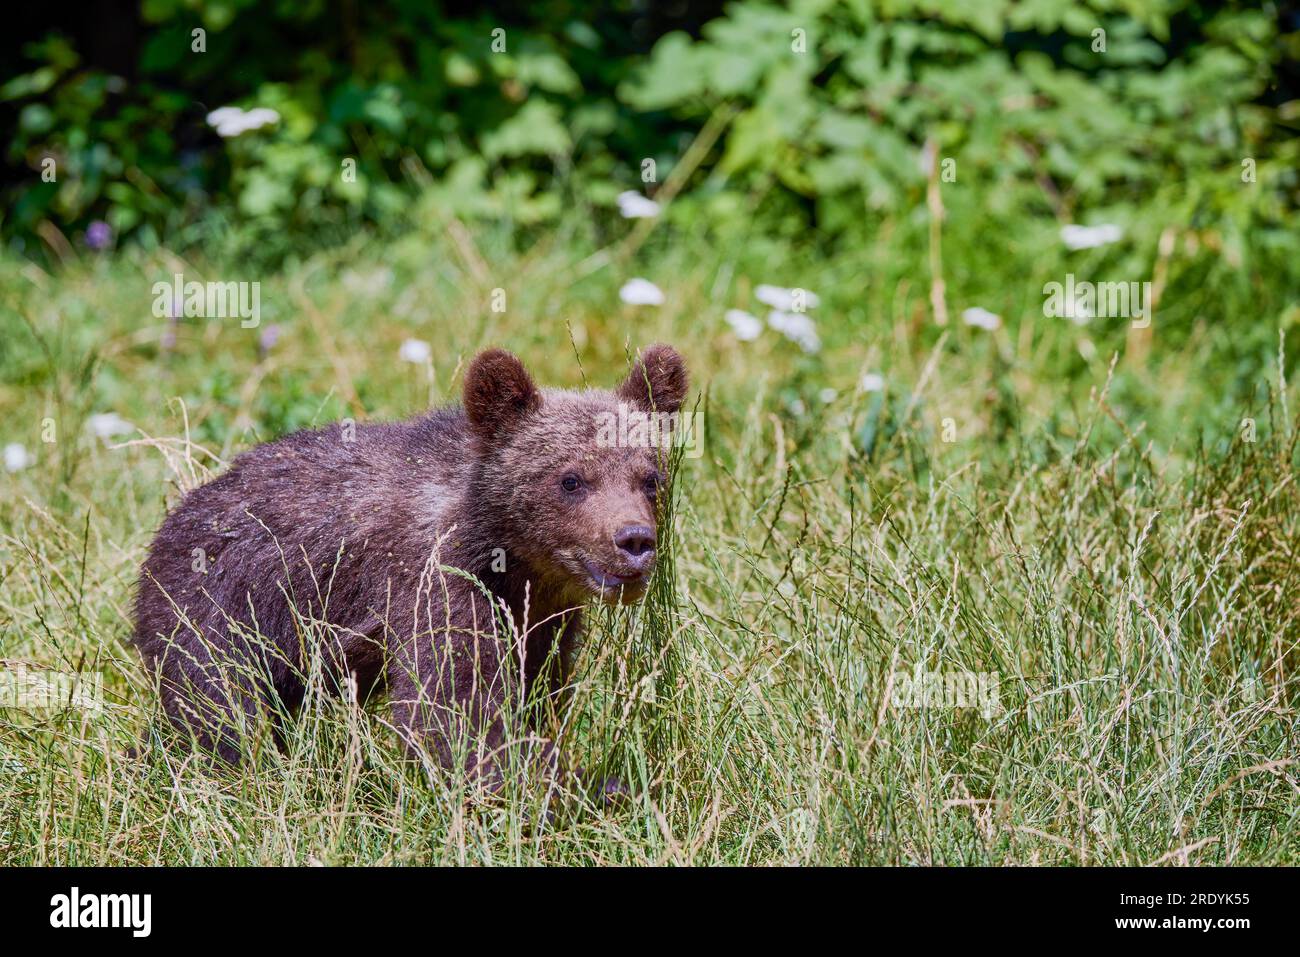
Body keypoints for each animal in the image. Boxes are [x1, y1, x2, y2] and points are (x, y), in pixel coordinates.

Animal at [131, 344, 688, 794]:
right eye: (571, 479)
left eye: (650, 478)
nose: (634, 540)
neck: (510, 556)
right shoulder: (433, 582)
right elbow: (456, 706)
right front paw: (558, 788)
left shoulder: (542, 617)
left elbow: (532, 689)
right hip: (222, 606)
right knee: (219, 708)